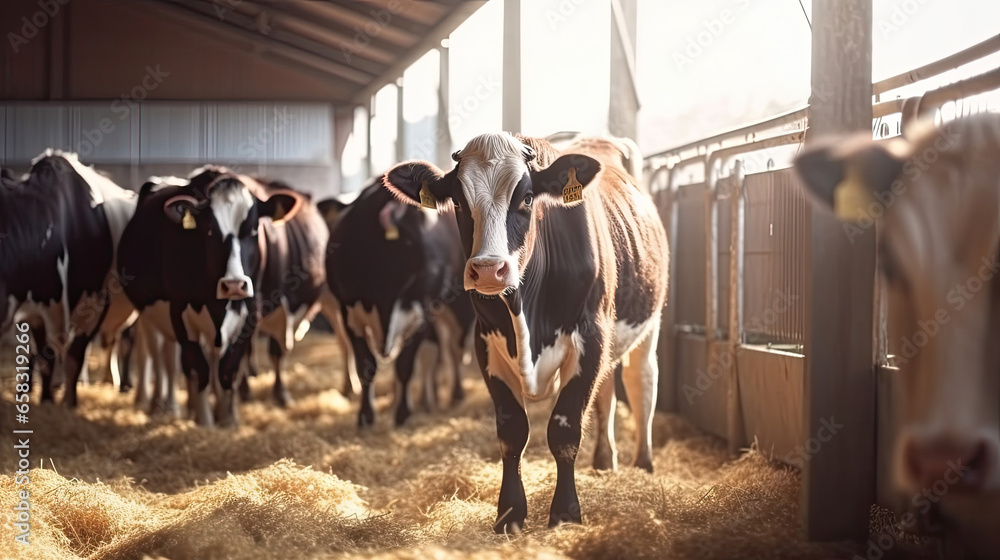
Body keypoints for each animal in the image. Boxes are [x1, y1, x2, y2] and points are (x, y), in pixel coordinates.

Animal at [0, 151, 138, 406]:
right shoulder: (36, 311)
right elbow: (46, 357)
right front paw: (46, 399)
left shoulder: (95, 302)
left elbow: (76, 354)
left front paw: (69, 403)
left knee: (125, 341)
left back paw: (123, 384)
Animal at [117, 167, 301, 426]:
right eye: (209, 230)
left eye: (254, 229)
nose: (234, 284)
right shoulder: (178, 311)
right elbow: (199, 367)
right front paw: (205, 422)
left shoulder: (250, 312)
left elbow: (228, 368)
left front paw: (228, 419)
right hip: (149, 315)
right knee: (159, 356)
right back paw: (157, 404)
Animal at [325, 181, 474, 428]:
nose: (439, 270)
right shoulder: (349, 314)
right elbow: (366, 365)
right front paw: (366, 415)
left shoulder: (421, 315)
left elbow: (405, 365)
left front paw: (403, 414)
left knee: (451, 348)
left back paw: (454, 394)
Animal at [382, 133, 670, 532]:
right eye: (457, 200)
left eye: (528, 198)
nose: (489, 269)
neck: (528, 312)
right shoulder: (487, 345)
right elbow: (512, 431)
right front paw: (510, 514)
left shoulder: (591, 337)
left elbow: (565, 428)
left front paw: (566, 514)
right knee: (607, 391)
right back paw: (604, 462)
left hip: (648, 322)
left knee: (642, 381)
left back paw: (643, 465)